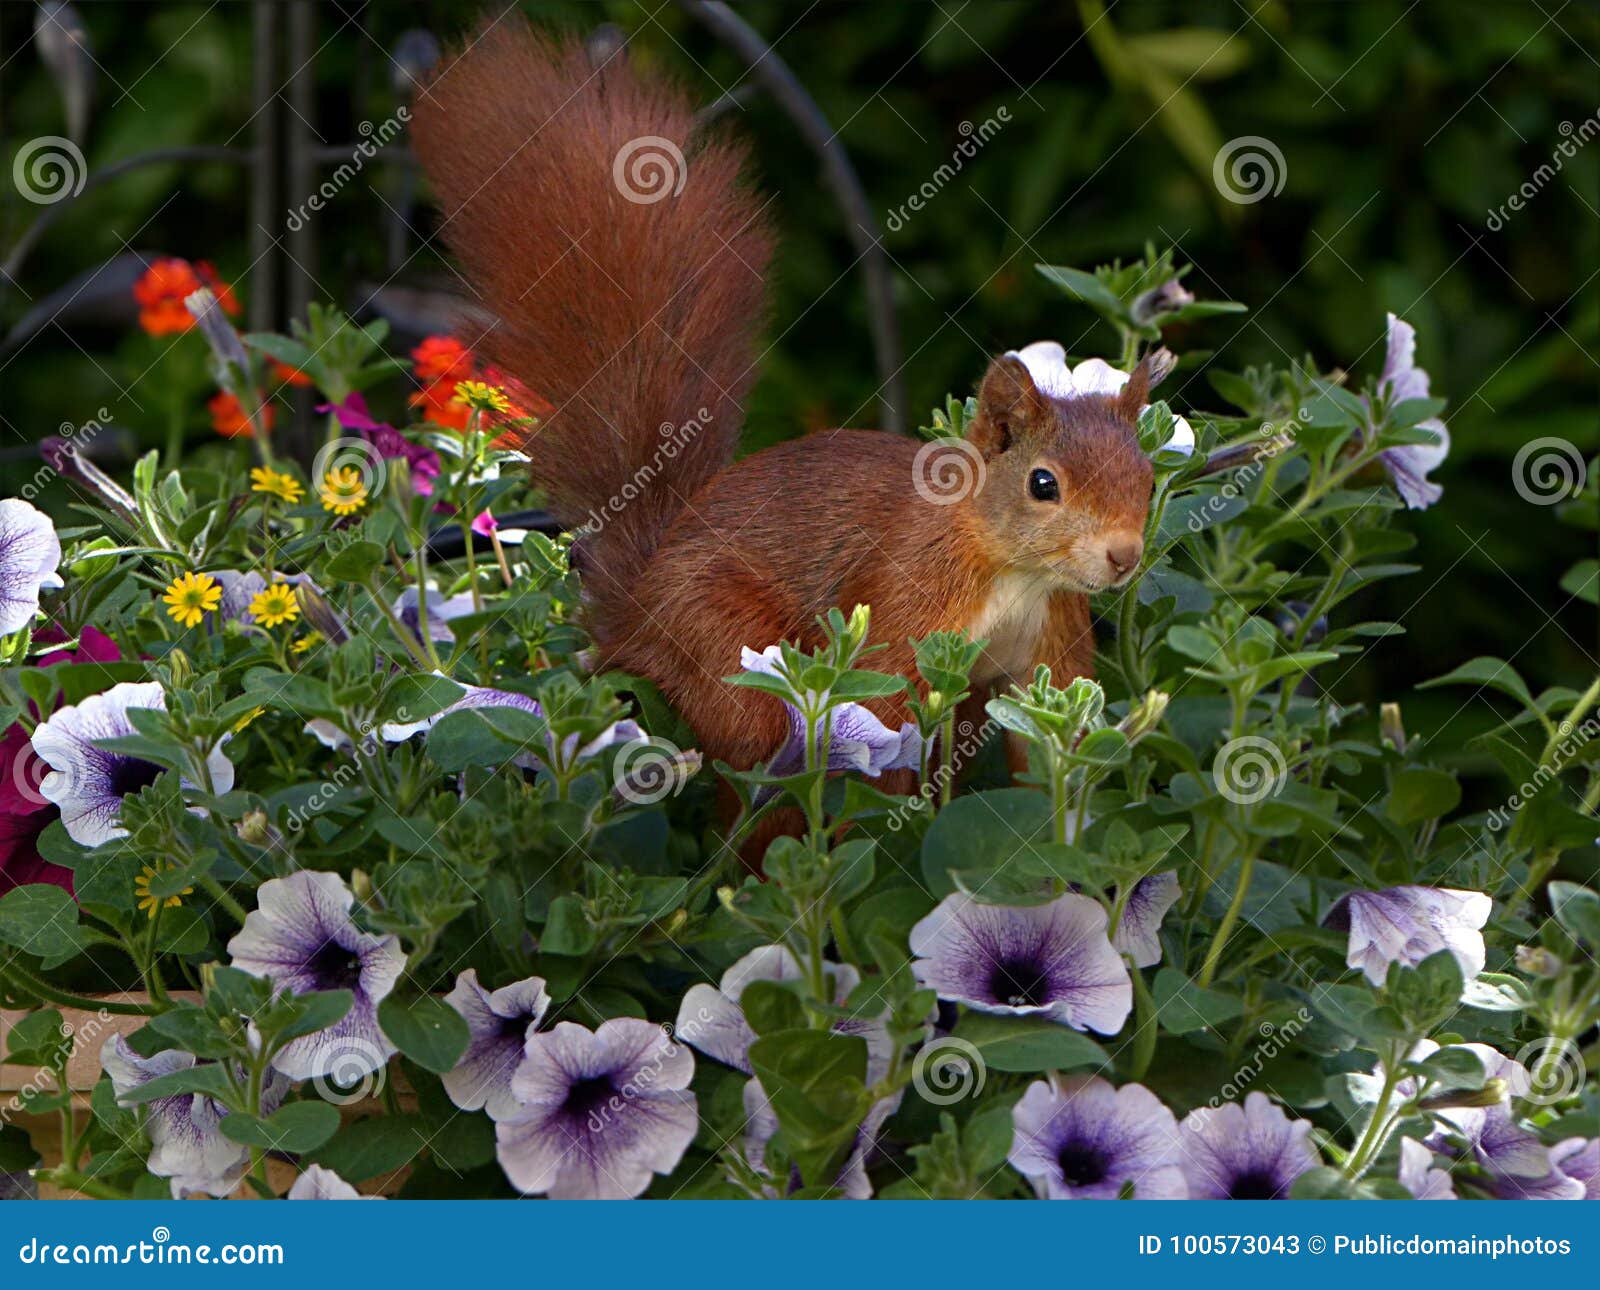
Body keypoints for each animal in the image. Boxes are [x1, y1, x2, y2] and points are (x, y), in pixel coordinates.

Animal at [413, 21, 1156, 801]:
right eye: (1043, 484)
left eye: (1146, 478)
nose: (1124, 556)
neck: (1013, 572)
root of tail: (634, 616)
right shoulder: (908, 602)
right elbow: (887, 711)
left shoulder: (1051, 643)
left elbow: (1053, 749)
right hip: (725, 650)